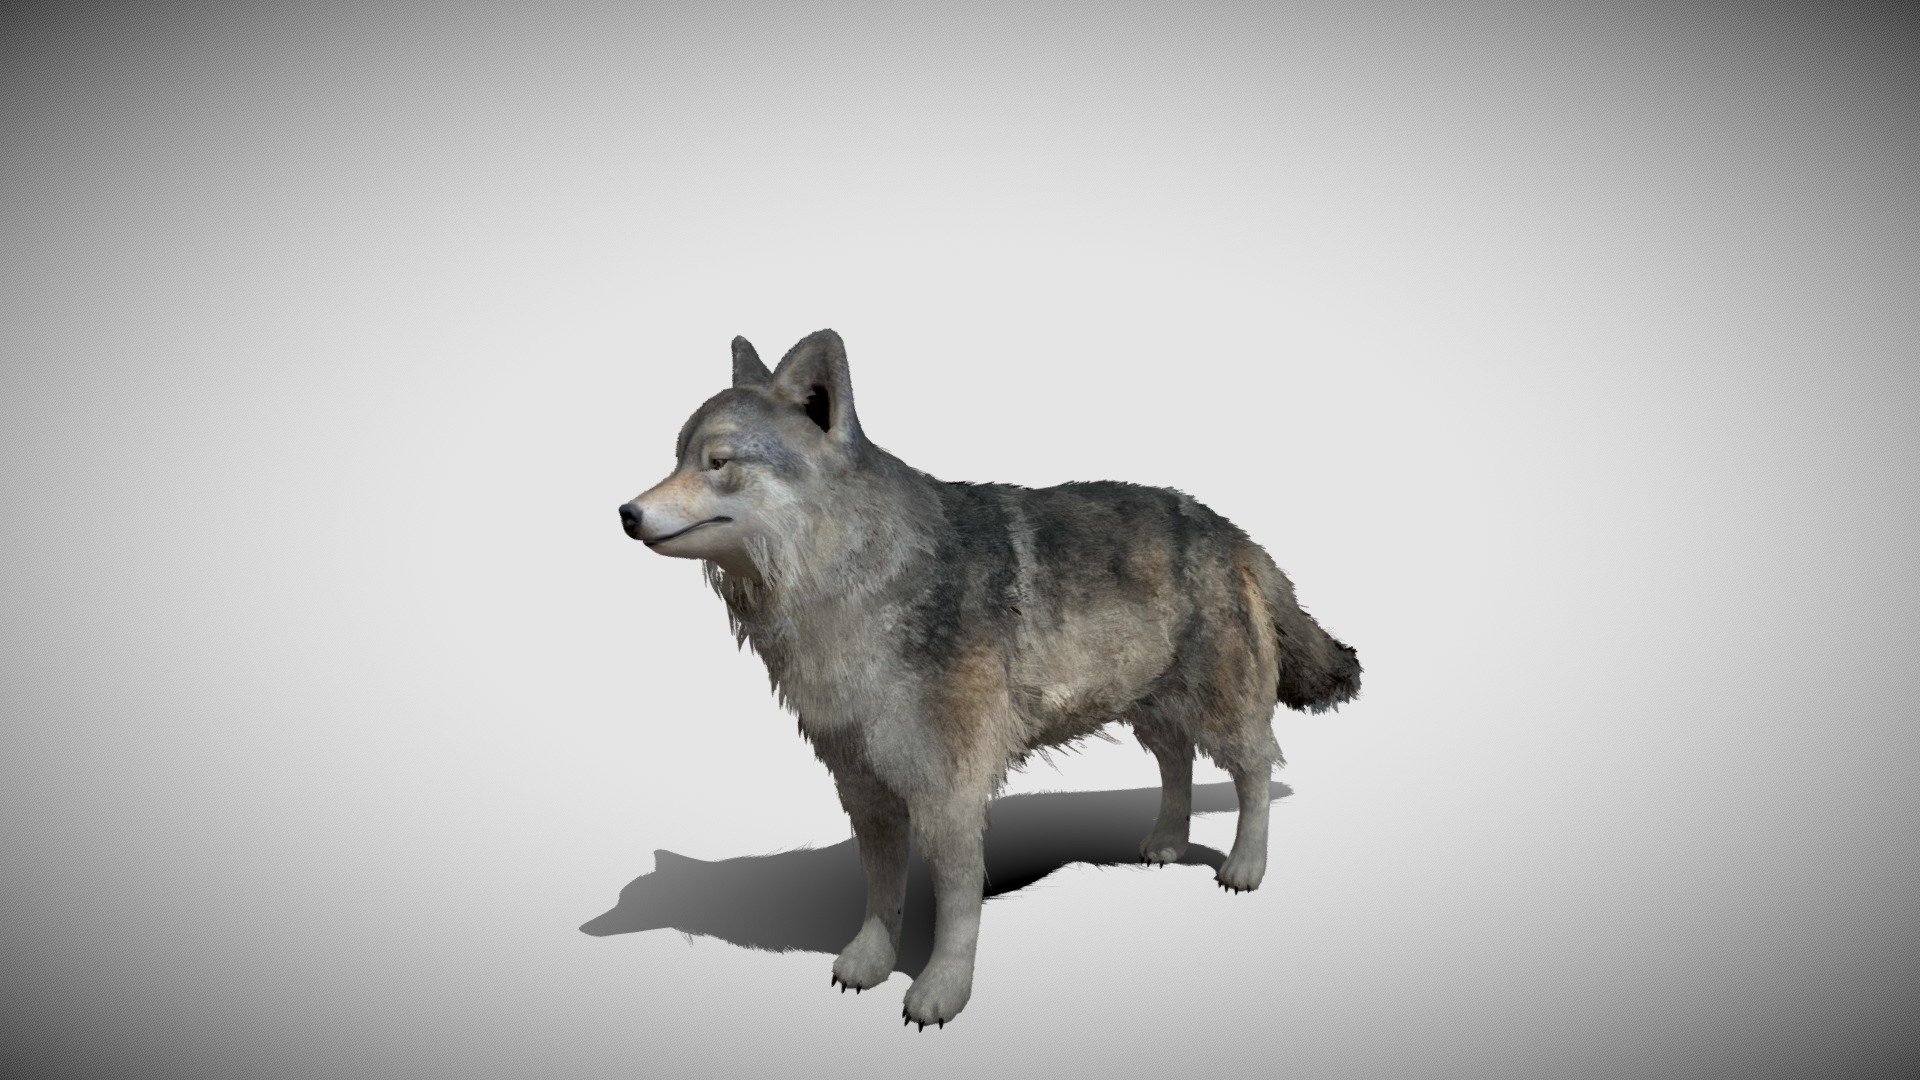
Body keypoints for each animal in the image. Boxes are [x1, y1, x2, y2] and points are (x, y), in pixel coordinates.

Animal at [617, 329, 1360, 1029]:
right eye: (677, 458)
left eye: (717, 464)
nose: (625, 513)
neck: (854, 587)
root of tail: (1227, 526)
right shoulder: (864, 785)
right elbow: (881, 893)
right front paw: (869, 962)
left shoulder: (951, 790)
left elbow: (956, 906)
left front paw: (942, 993)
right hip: (1150, 708)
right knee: (1177, 763)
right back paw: (1167, 843)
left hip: (1217, 707)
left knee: (1256, 769)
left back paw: (1244, 867)